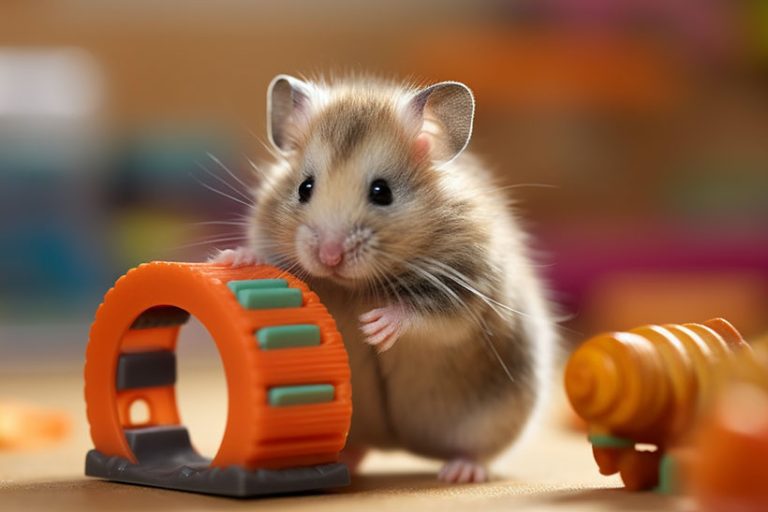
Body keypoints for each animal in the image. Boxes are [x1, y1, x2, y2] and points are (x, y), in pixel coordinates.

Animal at [213, 74, 556, 483]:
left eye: (382, 192)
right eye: (304, 187)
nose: (329, 256)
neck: (356, 287)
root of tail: (397, 445)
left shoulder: (467, 284)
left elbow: (428, 315)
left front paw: (373, 326)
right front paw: (232, 257)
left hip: (496, 417)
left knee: (478, 452)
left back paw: (459, 473)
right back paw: (347, 460)